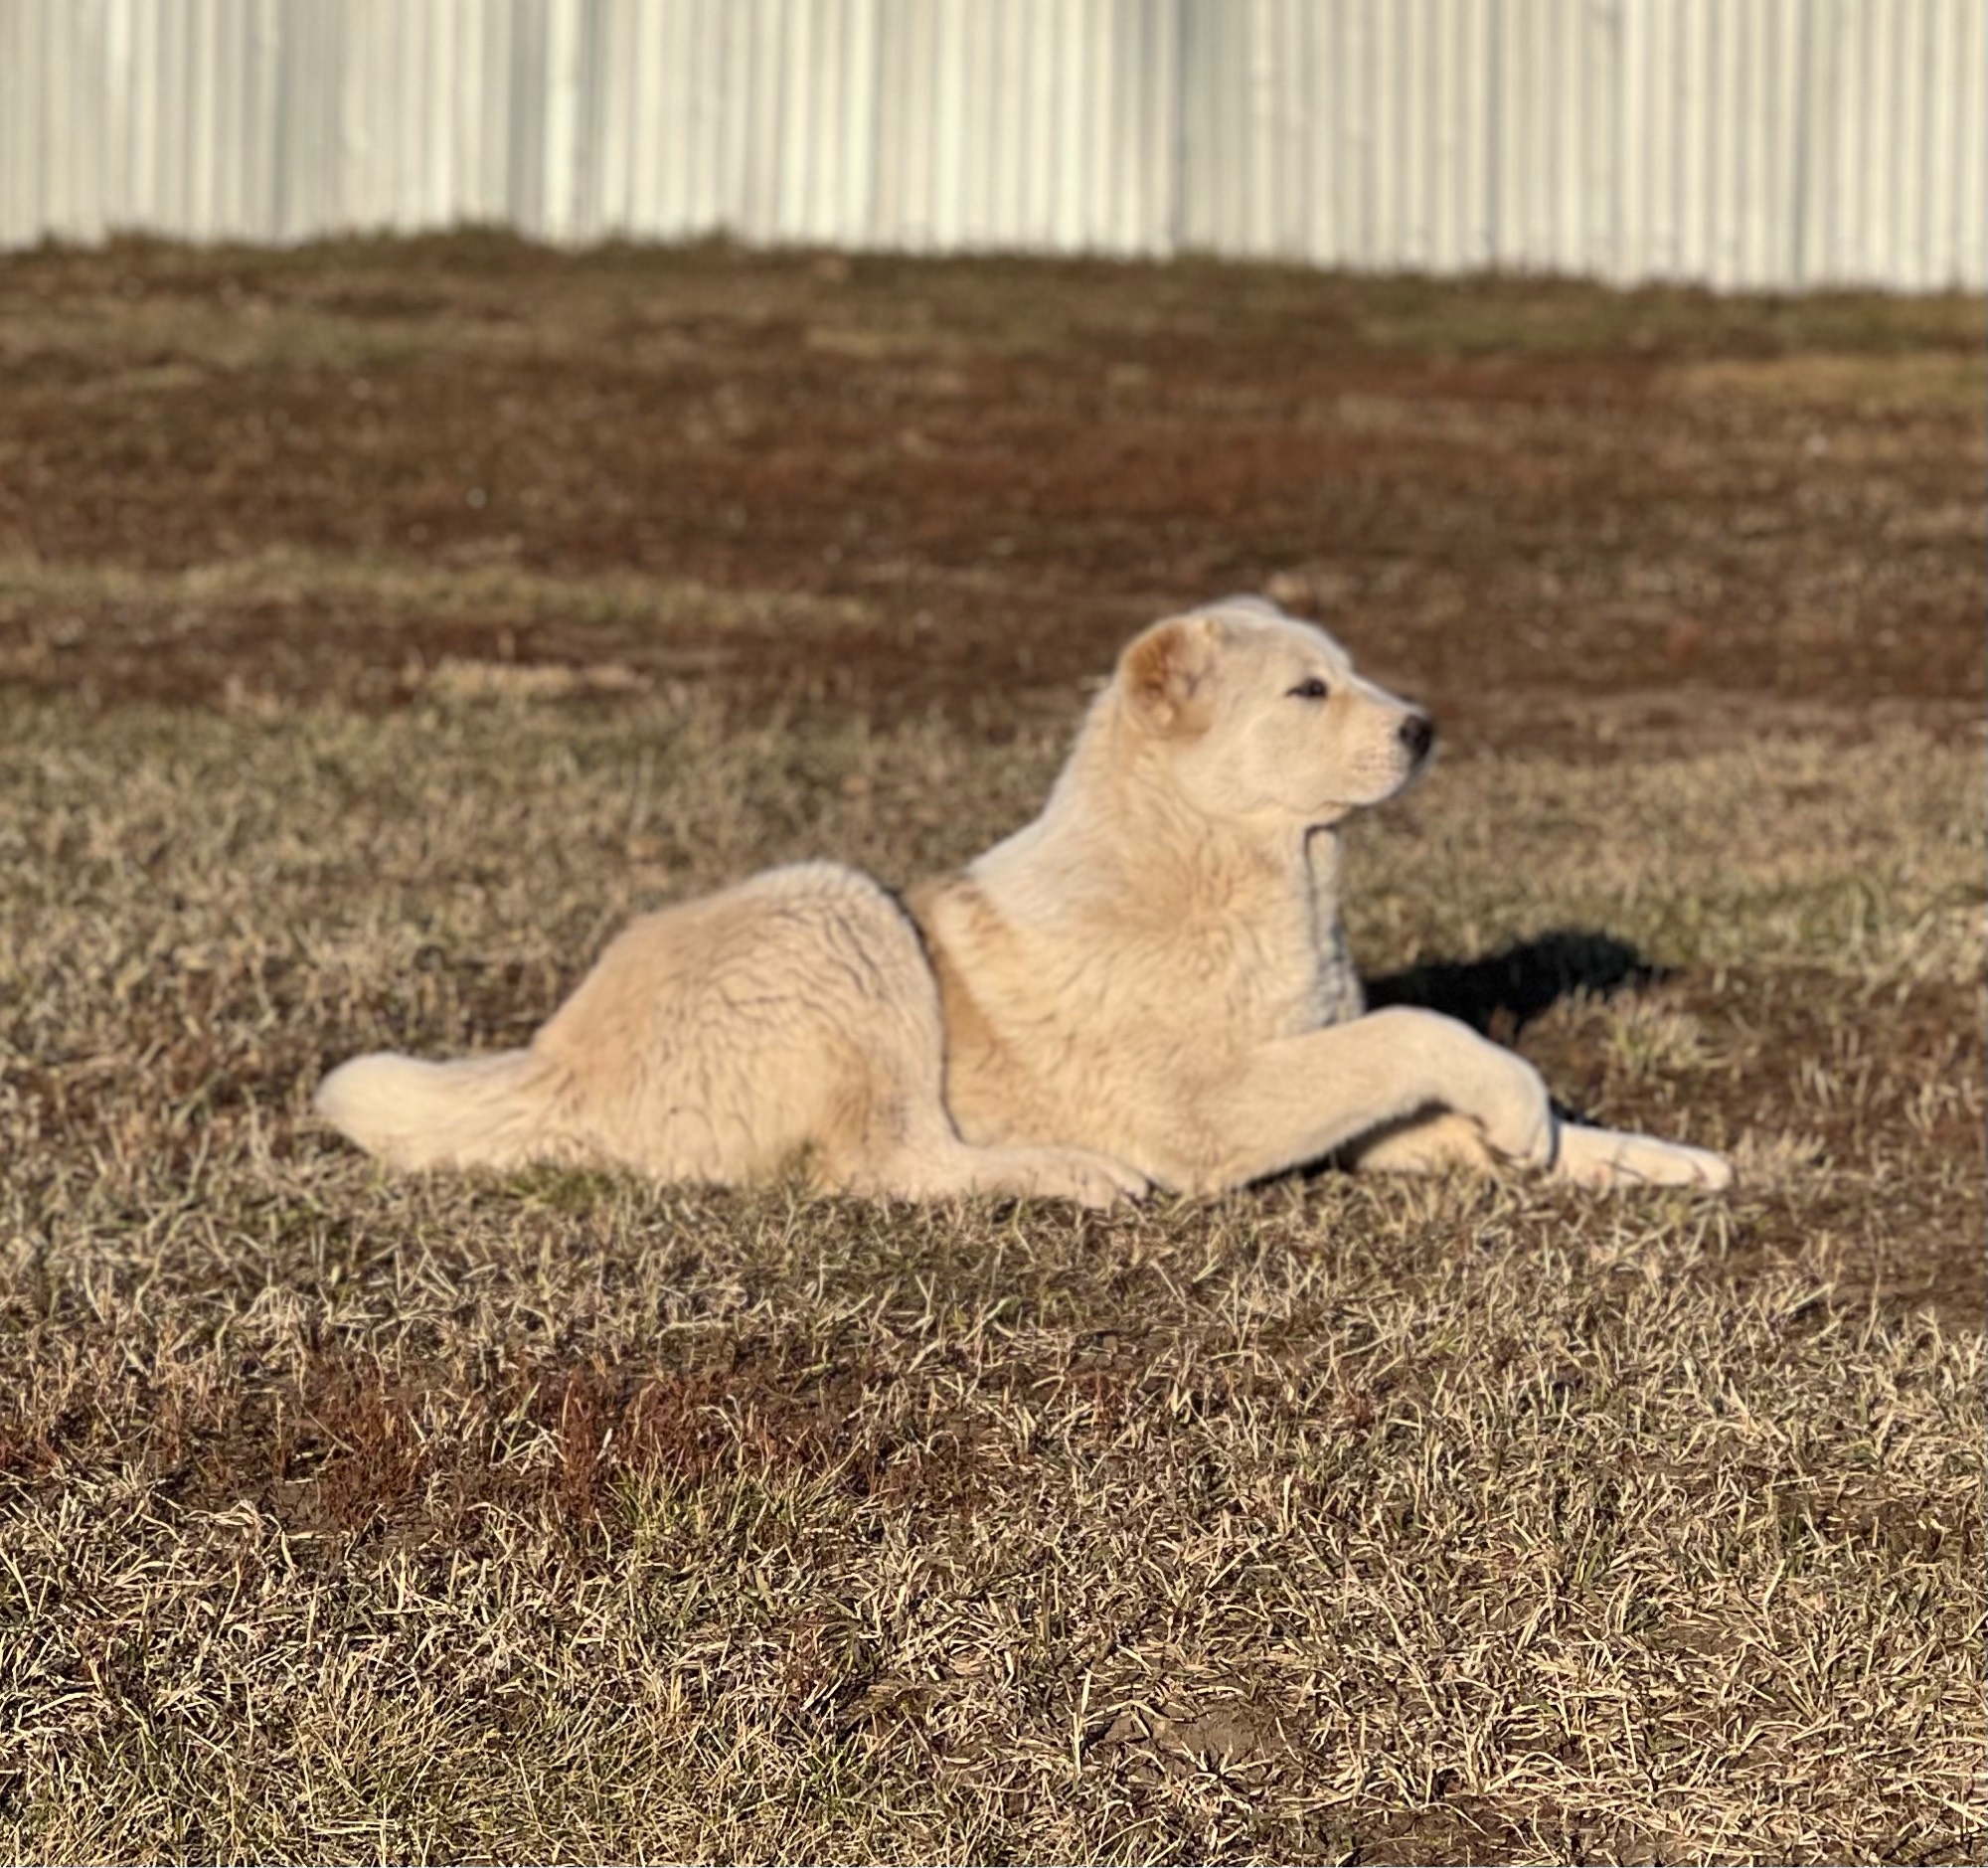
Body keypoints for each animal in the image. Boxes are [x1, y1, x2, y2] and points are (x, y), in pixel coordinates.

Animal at [318, 603, 1734, 1200]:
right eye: (1307, 691)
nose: (1425, 727)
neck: (1239, 866)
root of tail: (549, 1060)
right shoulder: (1212, 1116)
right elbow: (1424, 1032)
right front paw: (1522, 1107)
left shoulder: (1328, 1106)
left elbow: (1455, 1087)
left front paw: (1634, 1154)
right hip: (841, 916)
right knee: (888, 1168)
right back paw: (1068, 1175)